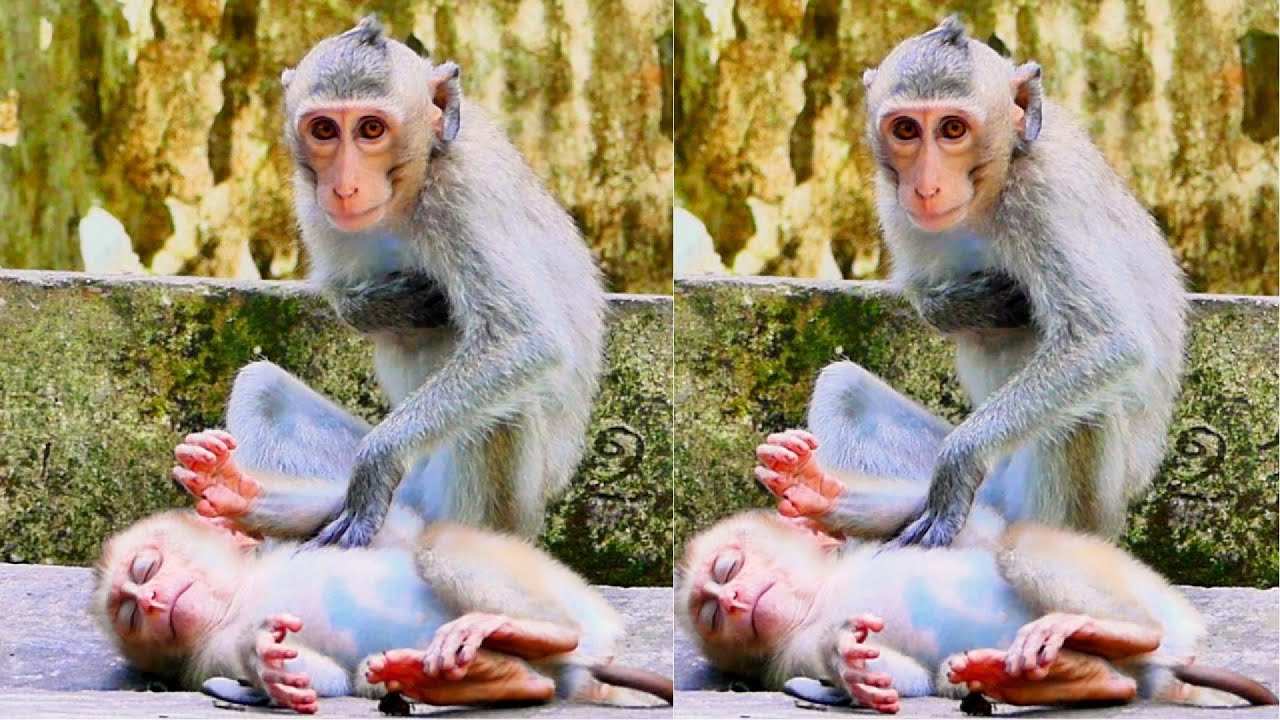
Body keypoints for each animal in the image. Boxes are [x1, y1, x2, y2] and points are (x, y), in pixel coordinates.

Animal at [91, 430, 671, 713]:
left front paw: (227, 486)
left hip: (572, 600)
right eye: (129, 614)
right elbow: (317, 678)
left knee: (439, 547)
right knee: (372, 672)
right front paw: (267, 661)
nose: (151, 600)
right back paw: (493, 680)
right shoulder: (207, 653)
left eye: (146, 567)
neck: (239, 596)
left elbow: (392, 526)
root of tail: (584, 667)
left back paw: (538, 632)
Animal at [225, 15, 606, 548]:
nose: (344, 186)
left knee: (507, 404)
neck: (410, 187)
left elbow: (526, 340)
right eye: (324, 129)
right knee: (261, 390)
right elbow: (337, 290)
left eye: (371, 128)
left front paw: (375, 465)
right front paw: (386, 305)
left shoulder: (462, 198)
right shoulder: (310, 200)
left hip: (488, 509)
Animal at [677, 432, 1277, 712]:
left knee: (1020, 546)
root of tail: (1168, 663)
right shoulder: (788, 653)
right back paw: (1066, 677)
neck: (822, 595)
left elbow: (976, 528)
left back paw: (1116, 632)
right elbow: (902, 678)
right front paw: (848, 661)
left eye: (729, 567)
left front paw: (812, 487)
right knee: (953, 671)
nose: (733, 600)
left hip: (1147, 593)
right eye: (712, 614)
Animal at [831, 15, 1188, 548]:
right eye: (906, 129)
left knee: (1088, 410)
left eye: (953, 129)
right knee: (844, 391)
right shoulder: (891, 199)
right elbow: (918, 291)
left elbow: (1109, 340)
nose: (926, 187)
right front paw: (968, 305)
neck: (991, 187)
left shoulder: (1043, 197)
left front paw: (957, 464)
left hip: (1069, 509)